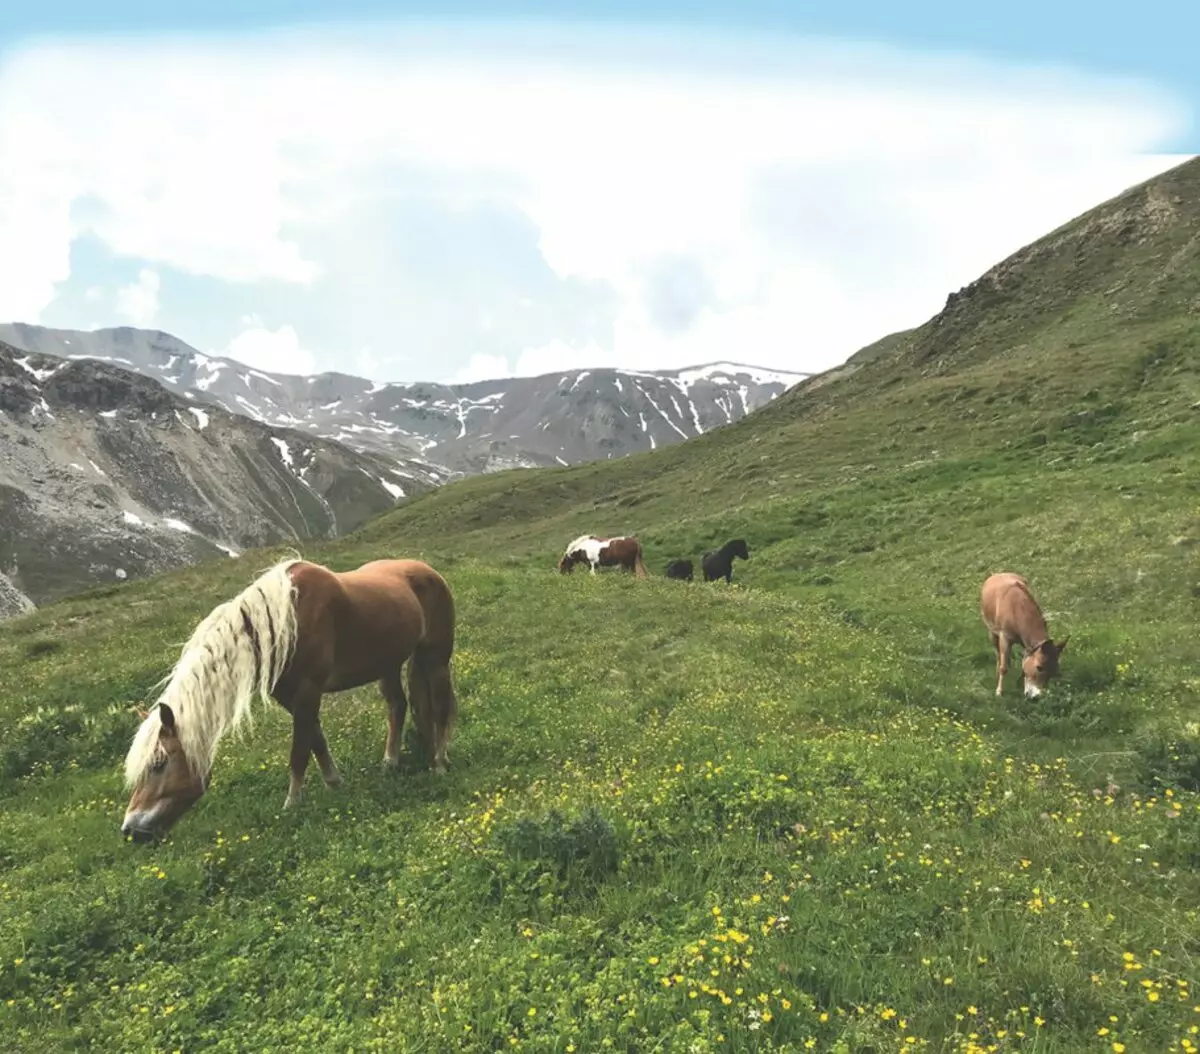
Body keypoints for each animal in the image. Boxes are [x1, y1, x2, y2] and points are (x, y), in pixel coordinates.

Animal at [121, 557, 456, 845]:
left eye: (159, 763)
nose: (130, 830)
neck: (283, 622)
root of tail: (427, 570)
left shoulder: (308, 690)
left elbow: (299, 752)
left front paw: (292, 805)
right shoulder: (290, 697)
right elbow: (316, 740)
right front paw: (334, 783)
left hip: (435, 658)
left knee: (440, 708)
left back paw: (439, 764)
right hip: (388, 665)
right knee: (397, 706)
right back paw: (390, 762)